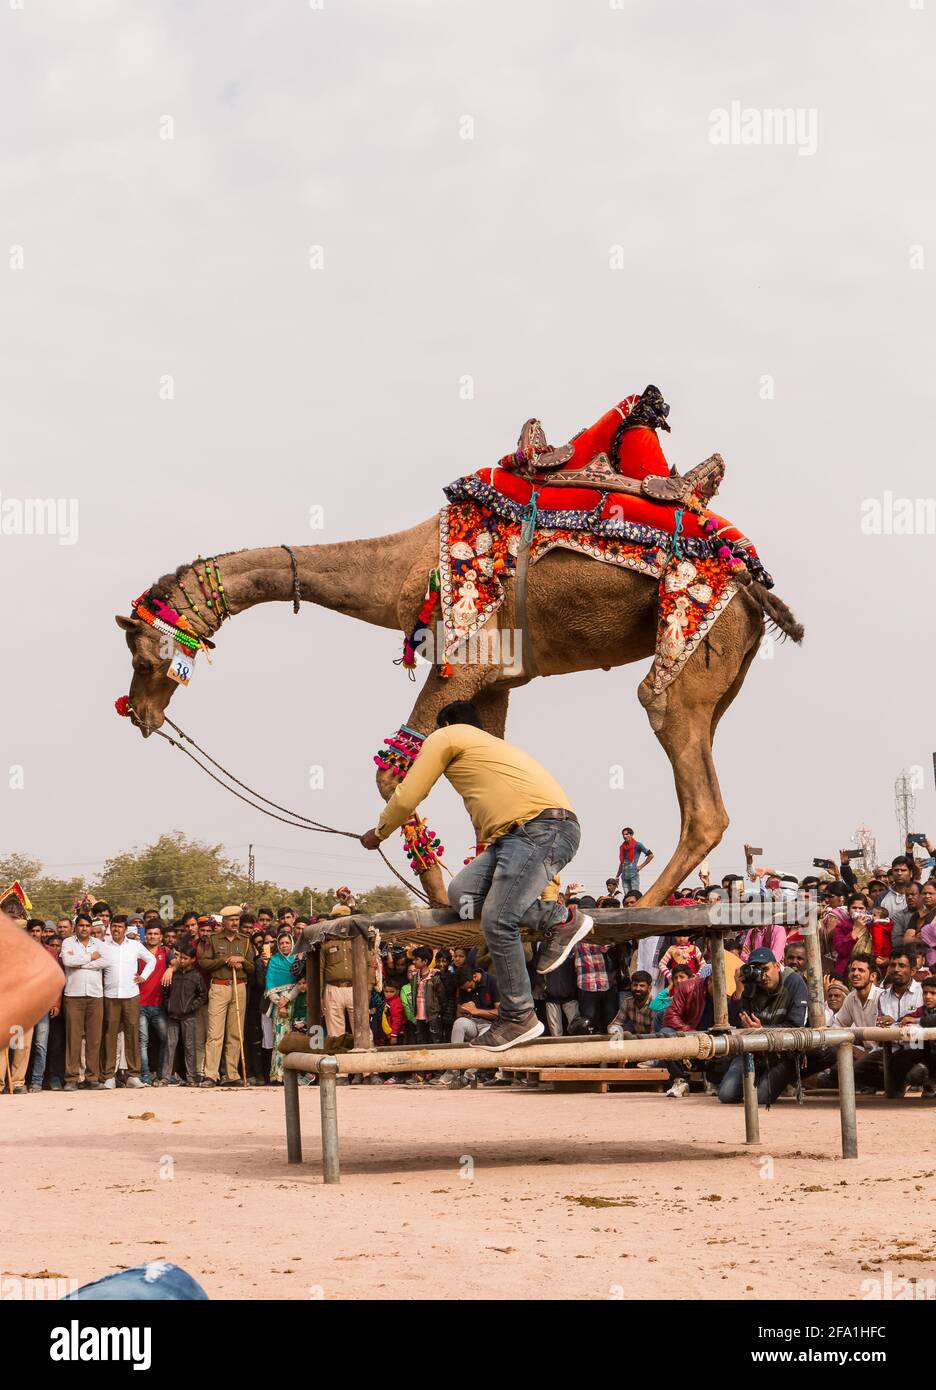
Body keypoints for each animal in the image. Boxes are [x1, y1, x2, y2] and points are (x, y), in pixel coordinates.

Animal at [116, 519, 803, 908]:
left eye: (143, 655)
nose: (139, 714)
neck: (404, 566)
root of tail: (754, 591)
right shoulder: (497, 679)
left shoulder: (462, 658)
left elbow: (393, 769)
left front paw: (440, 895)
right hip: (724, 672)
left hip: (687, 649)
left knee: (687, 764)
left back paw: (645, 904)